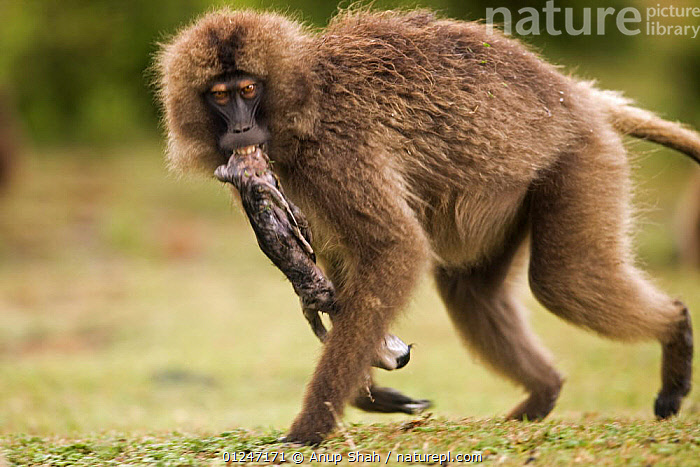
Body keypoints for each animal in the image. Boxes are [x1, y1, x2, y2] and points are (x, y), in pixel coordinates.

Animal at [156, 8, 697, 445]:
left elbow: (394, 251)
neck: (304, 97)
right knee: (471, 290)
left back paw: (674, 331)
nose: (240, 129)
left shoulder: (335, 155)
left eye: (248, 90)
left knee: (562, 281)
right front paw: (368, 392)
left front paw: (312, 426)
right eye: (219, 95)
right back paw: (543, 393)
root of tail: (576, 96)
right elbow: (341, 266)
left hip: (583, 157)